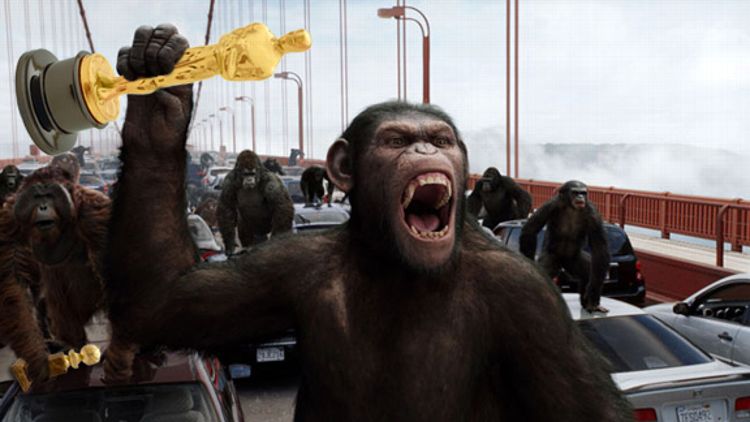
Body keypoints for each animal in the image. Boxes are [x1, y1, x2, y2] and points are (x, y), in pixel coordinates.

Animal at [520, 180, 611, 313]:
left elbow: (599, 247)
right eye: (575, 192)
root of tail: (563, 262)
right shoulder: (550, 206)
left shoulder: (593, 214)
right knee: (545, 272)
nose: (580, 197)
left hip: (574, 260)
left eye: (583, 192)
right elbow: (530, 229)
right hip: (552, 258)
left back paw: (590, 304)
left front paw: (593, 293)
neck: (571, 208)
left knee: (589, 271)